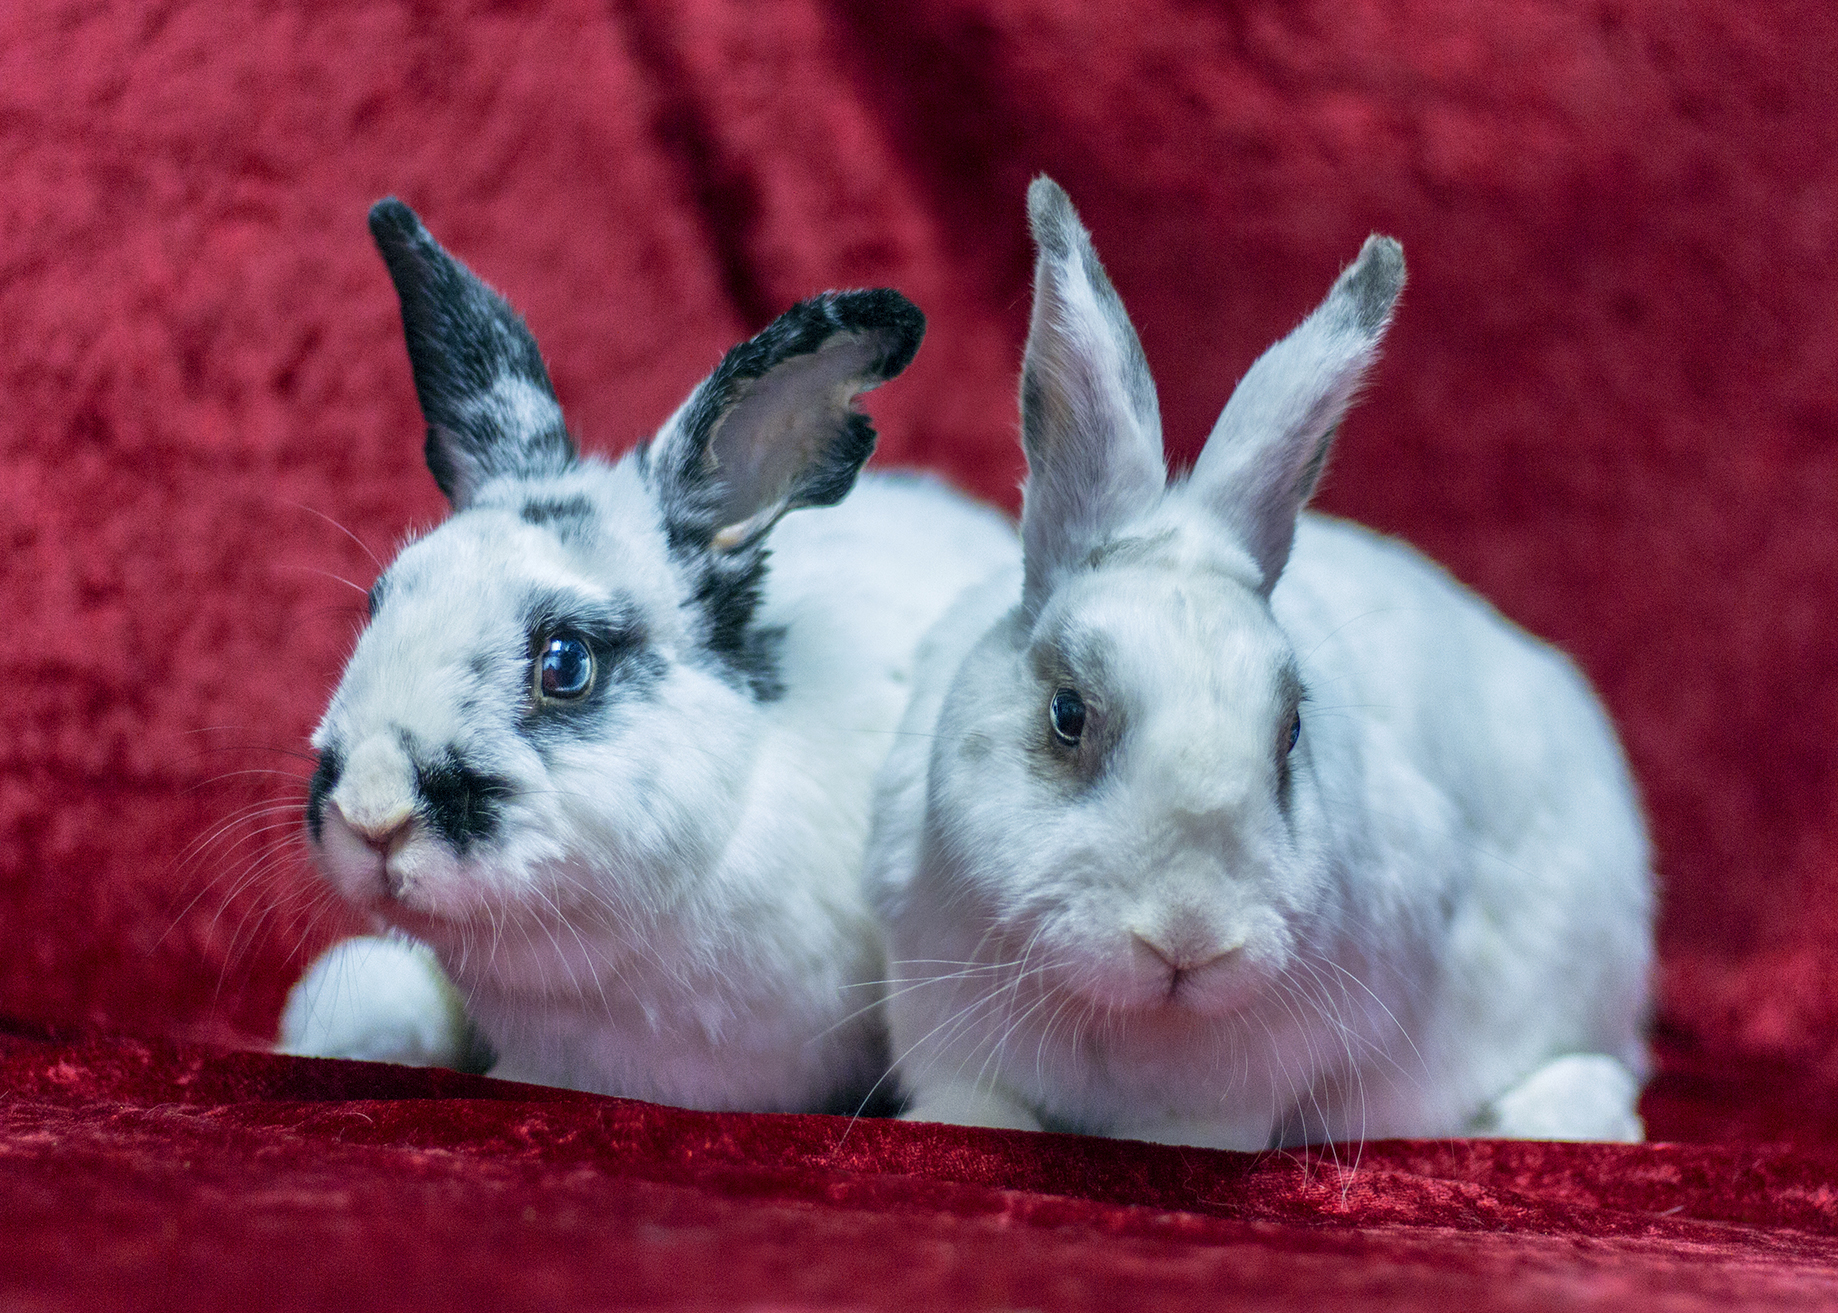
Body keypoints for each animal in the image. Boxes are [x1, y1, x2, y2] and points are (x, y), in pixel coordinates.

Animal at [864, 177, 1655, 1149]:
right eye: (1067, 713)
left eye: (1291, 733)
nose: (1187, 934)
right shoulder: (942, 1019)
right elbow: (974, 1103)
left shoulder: (1242, 1091)